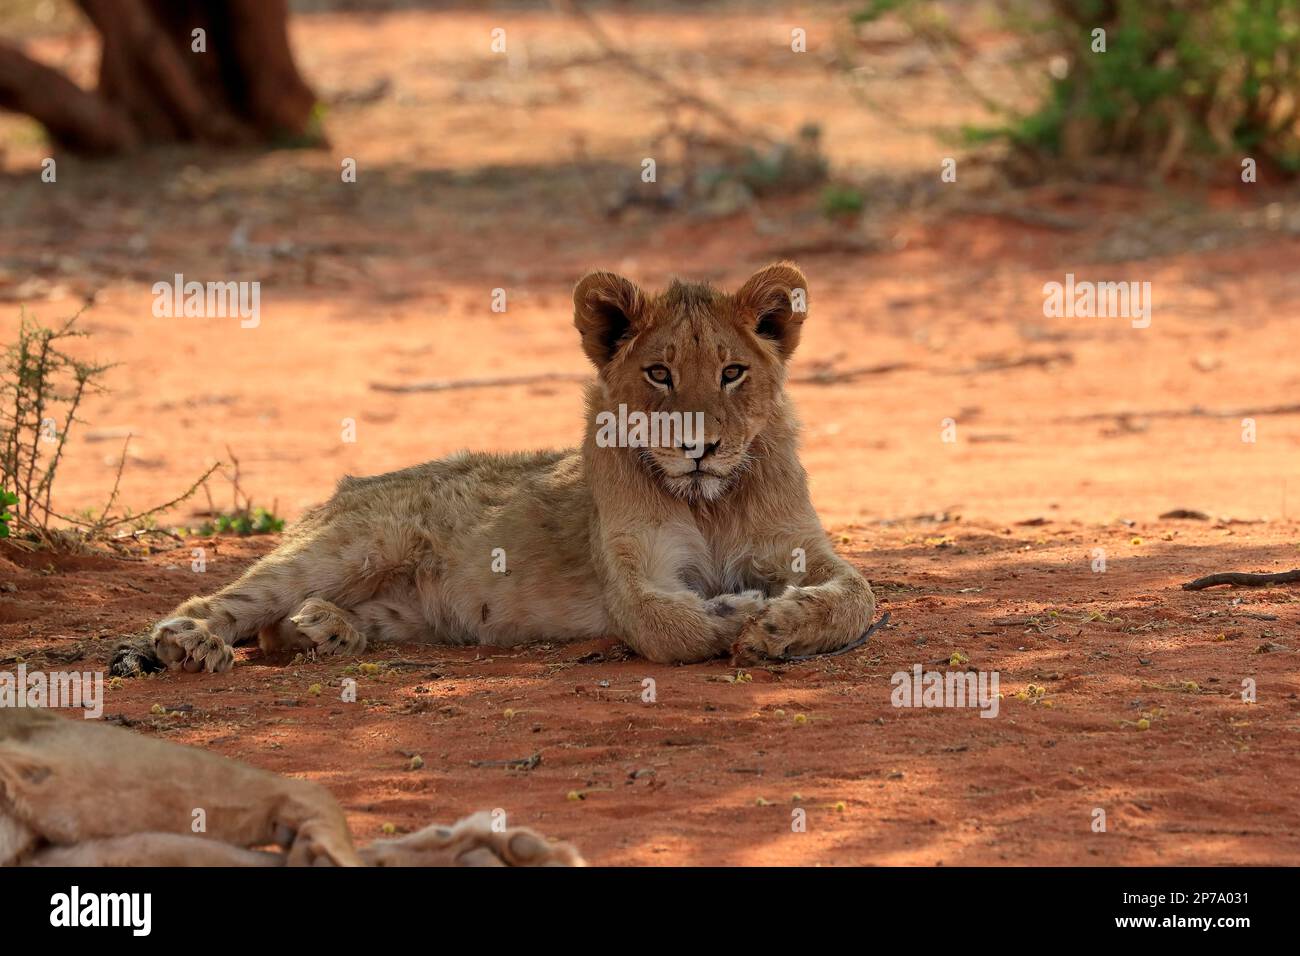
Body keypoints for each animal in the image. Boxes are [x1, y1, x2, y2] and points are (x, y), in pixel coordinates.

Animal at [111, 262, 876, 676]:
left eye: (732, 372)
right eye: (659, 373)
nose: (700, 447)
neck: (711, 500)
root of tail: (340, 492)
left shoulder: (802, 549)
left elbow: (859, 596)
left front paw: (784, 623)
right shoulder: (633, 577)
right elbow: (675, 626)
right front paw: (747, 612)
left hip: (403, 610)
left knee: (279, 626)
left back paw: (326, 630)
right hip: (350, 544)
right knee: (219, 603)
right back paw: (192, 646)